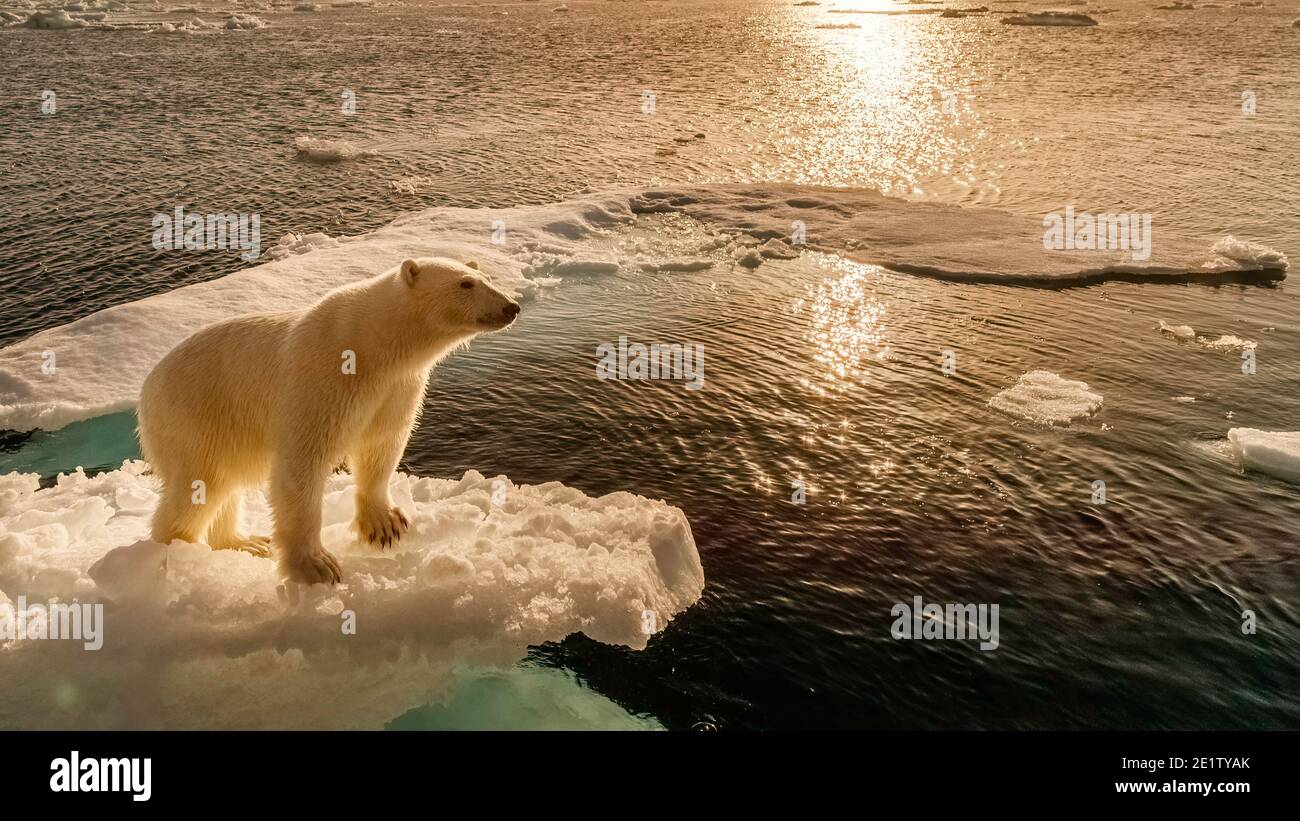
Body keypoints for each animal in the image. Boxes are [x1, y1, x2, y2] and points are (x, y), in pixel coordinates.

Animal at [136, 257, 521, 585]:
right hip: (195, 415)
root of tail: (146, 388)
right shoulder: (323, 379)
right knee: (200, 484)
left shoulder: (397, 388)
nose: (511, 307)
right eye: (465, 283)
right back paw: (177, 550)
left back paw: (245, 541)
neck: (373, 346)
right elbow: (302, 463)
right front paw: (316, 565)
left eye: (487, 277)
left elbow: (382, 444)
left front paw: (384, 524)